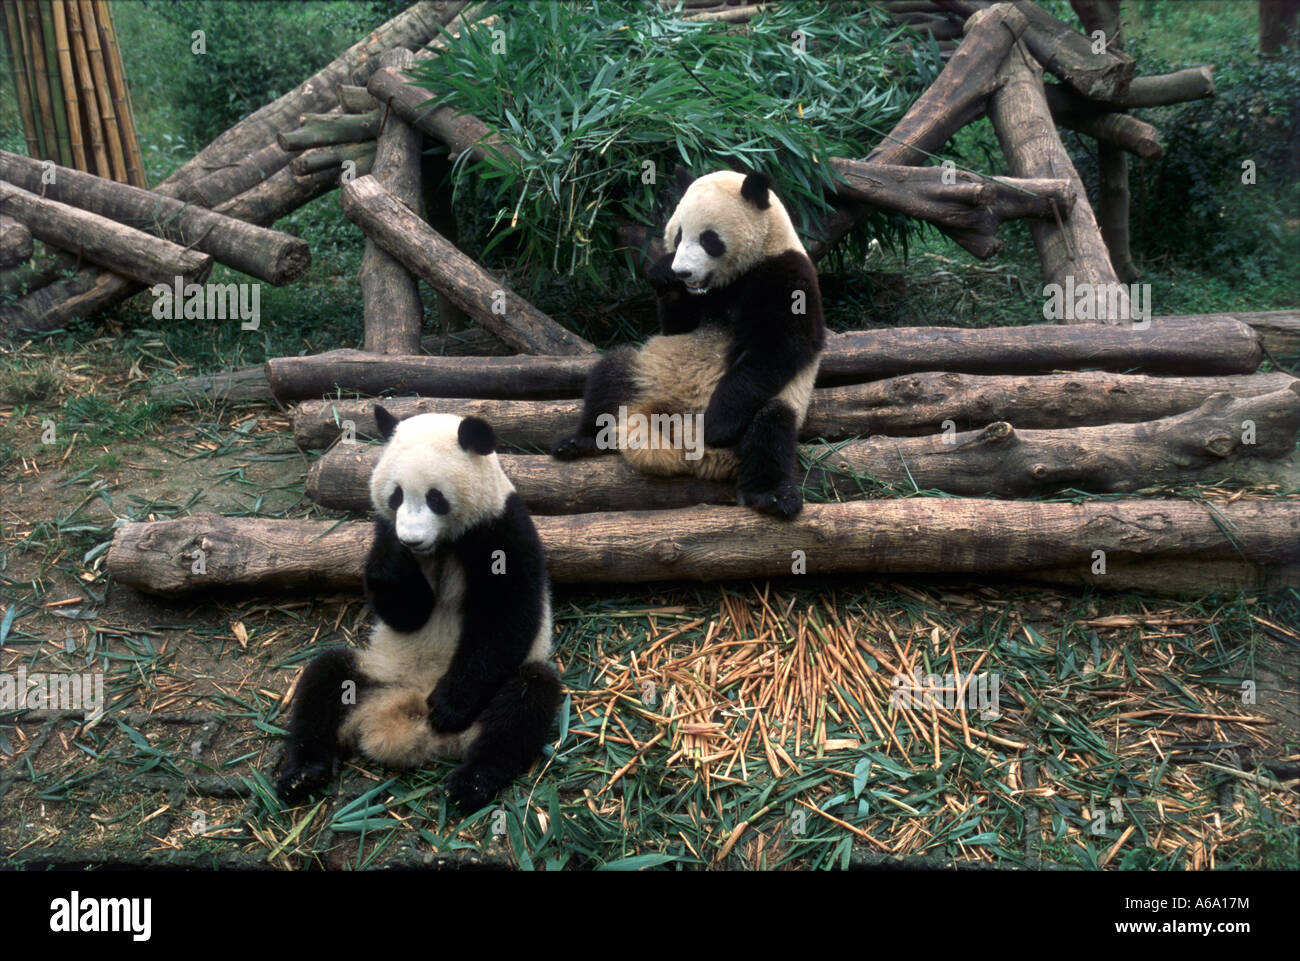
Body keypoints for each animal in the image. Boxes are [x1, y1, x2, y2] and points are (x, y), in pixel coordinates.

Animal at [275, 407, 562, 811]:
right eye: (395, 496)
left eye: (435, 498)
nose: (411, 539)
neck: (441, 545)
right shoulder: (384, 533)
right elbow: (404, 612)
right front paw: (394, 563)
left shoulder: (503, 529)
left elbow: (507, 618)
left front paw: (448, 706)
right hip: (377, 674)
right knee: (325, 678)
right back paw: (302, 774)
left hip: (492, 697)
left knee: (525, 700)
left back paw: (470, 783)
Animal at [552, 168, 825, 517]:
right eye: (679, 235)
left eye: (709, 239)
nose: (682, 272)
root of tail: (686, 445)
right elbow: (675, 328)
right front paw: (663, 275)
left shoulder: (785, 275)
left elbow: (779, 346)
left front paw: (717, 423)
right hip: (649, 374)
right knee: (611, 371)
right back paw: (582, 442)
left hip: (768, 409)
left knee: (770, 425)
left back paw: (772, 496)